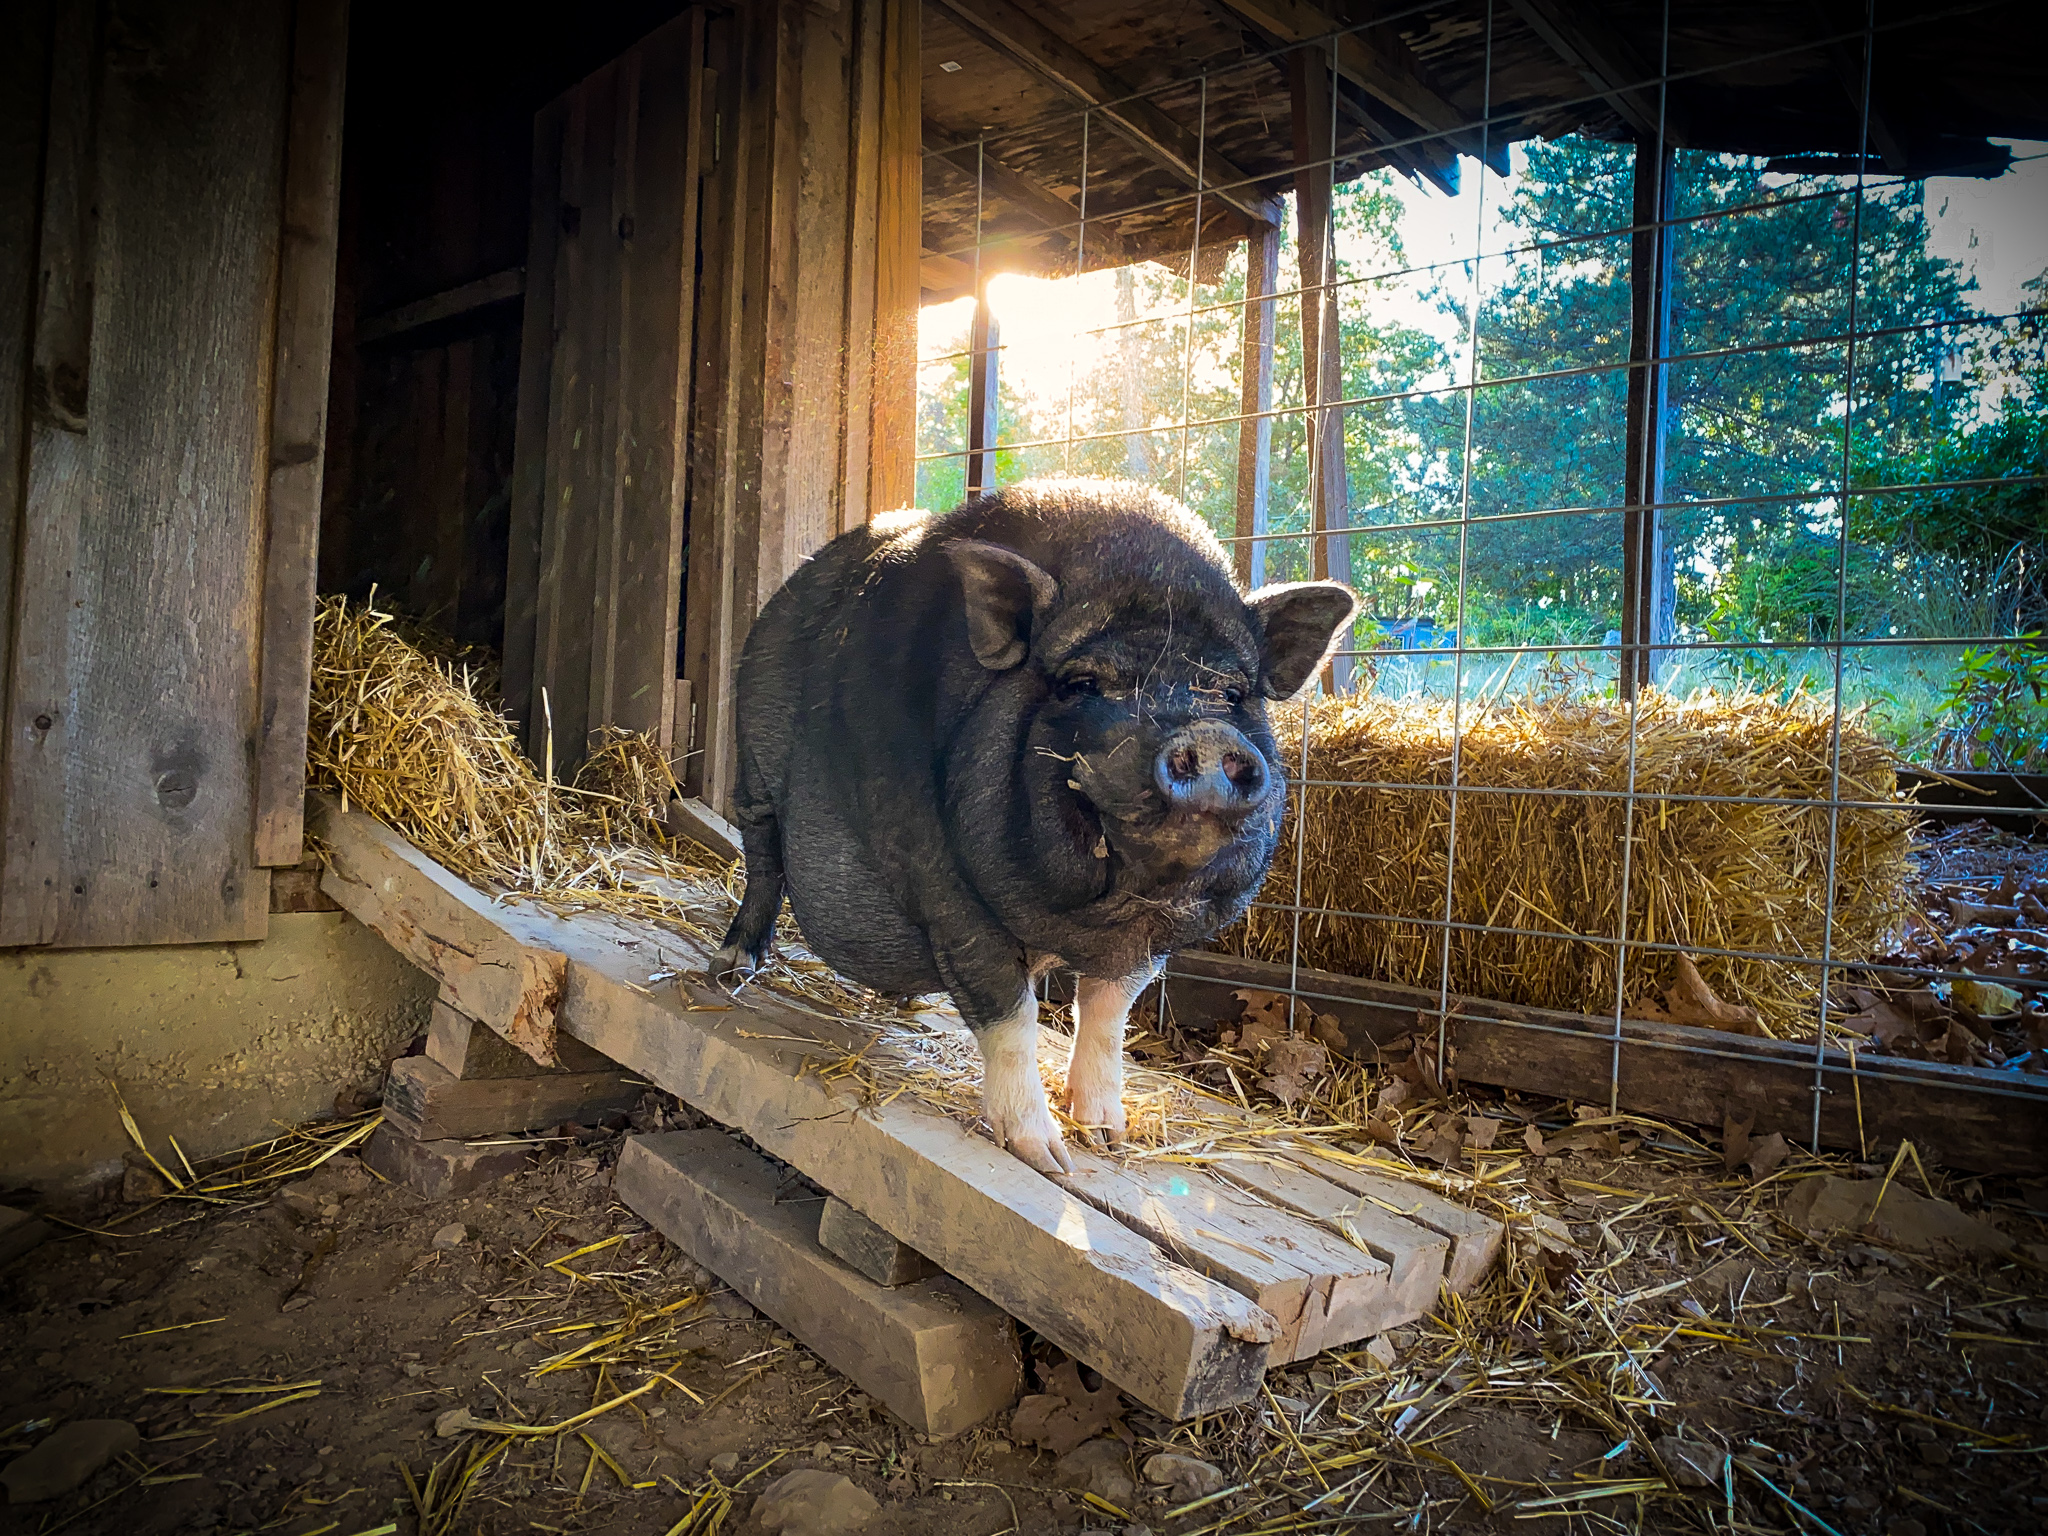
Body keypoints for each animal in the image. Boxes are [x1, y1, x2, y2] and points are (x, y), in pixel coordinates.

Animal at [710, 478, 1357, 1174]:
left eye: (1232, 694)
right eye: (1081, 684)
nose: (1207, 737)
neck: (1097, 911)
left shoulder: (1145, 943)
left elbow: (1107, 1014)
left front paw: (1107, 1138)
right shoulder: (941, 882)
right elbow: (1010, 1011)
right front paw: (1047, 1157)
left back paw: (906, 1001)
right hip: (753, 769)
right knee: (763, 860)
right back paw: (731, 967)